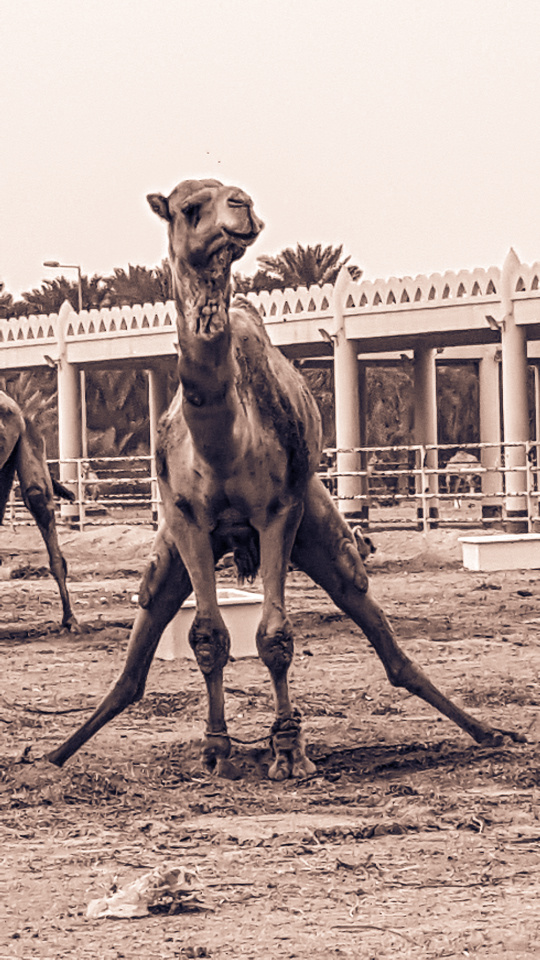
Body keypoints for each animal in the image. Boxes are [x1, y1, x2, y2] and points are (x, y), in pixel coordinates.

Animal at [48, 178, 522, 777]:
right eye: (188, 207)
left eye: (231, 195)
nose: (241, 205)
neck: (222, 441)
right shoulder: (185, 517)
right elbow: (208, 636)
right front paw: (217, 750)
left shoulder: (279, 510)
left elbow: (274, 637)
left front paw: (290, 751)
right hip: (173, 552)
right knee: (138, 646)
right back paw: (52, 754)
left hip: (317, 524)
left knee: (378, 625)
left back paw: (490, 732)